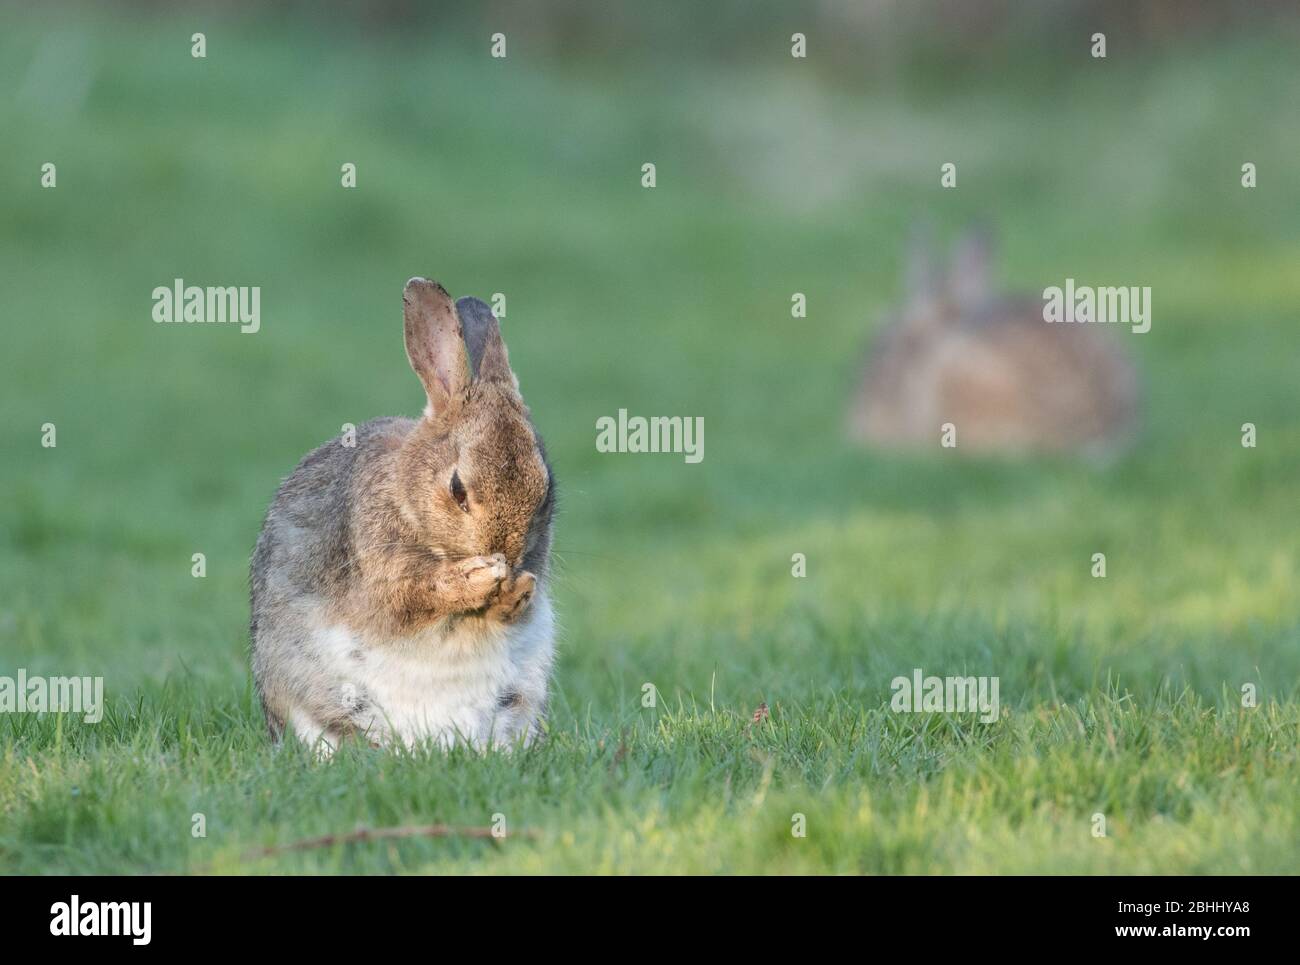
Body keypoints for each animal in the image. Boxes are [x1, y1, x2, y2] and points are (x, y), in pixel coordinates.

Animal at [249, 278, 556, 755]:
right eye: (457, 489)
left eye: (546, 491)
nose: (503, 551)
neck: (409, 494)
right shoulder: (376, 573)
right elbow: (408, 600)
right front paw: (479, 578)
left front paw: (516, 587)